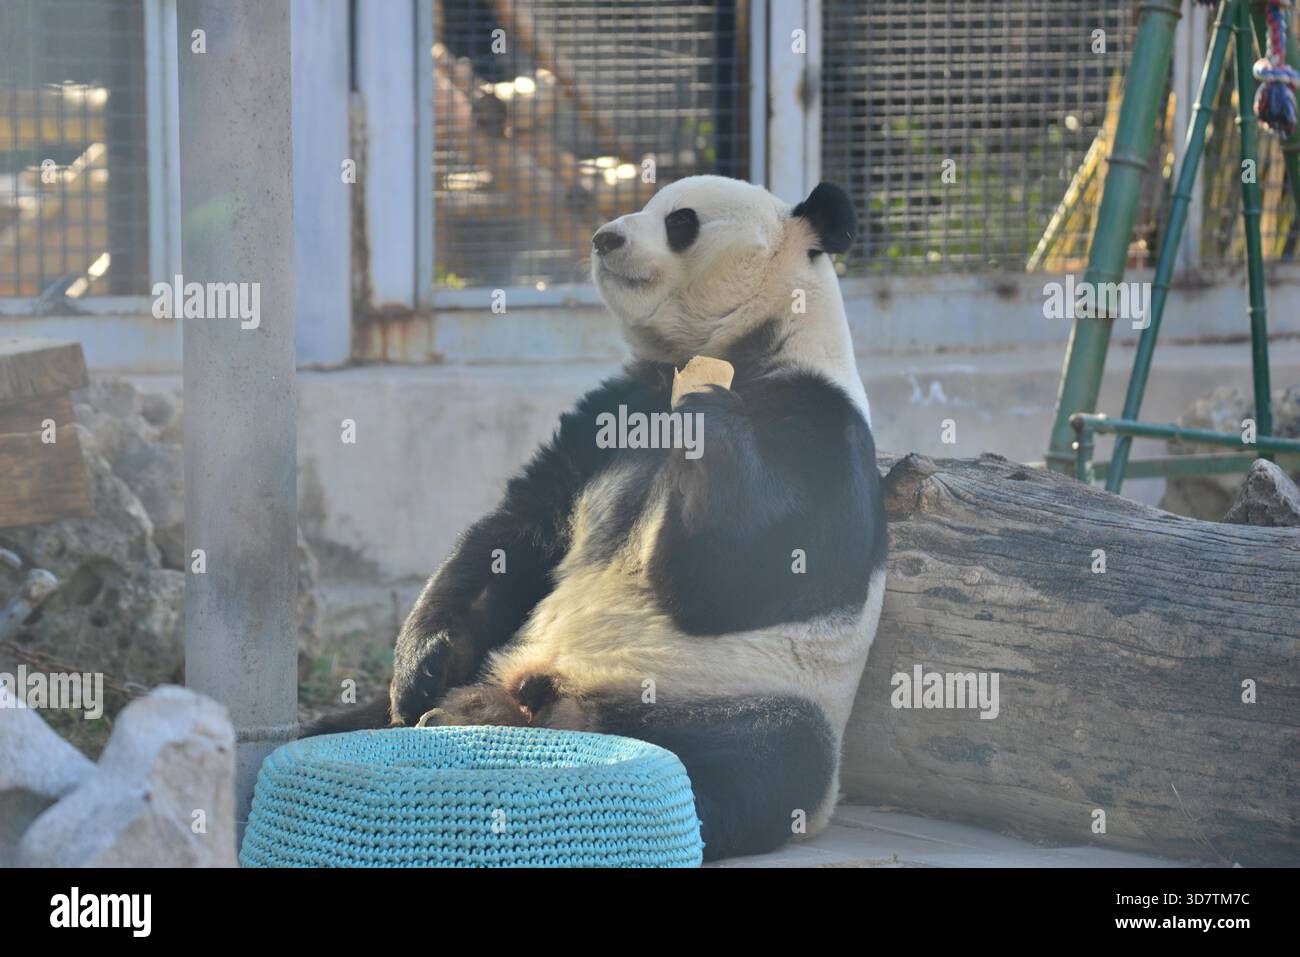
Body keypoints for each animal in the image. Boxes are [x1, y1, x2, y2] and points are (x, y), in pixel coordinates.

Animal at [323, 176, 887, 861]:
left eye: (680, 221)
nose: (605, 237)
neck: (737, 348)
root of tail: (553, 697)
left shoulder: (821, 427)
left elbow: (749, 575)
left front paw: (706, 425)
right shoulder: (610, 413)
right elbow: (517, 530)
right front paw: (423, 663)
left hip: (726, 692)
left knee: (770, 753)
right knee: (342, 724)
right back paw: (455, 710)